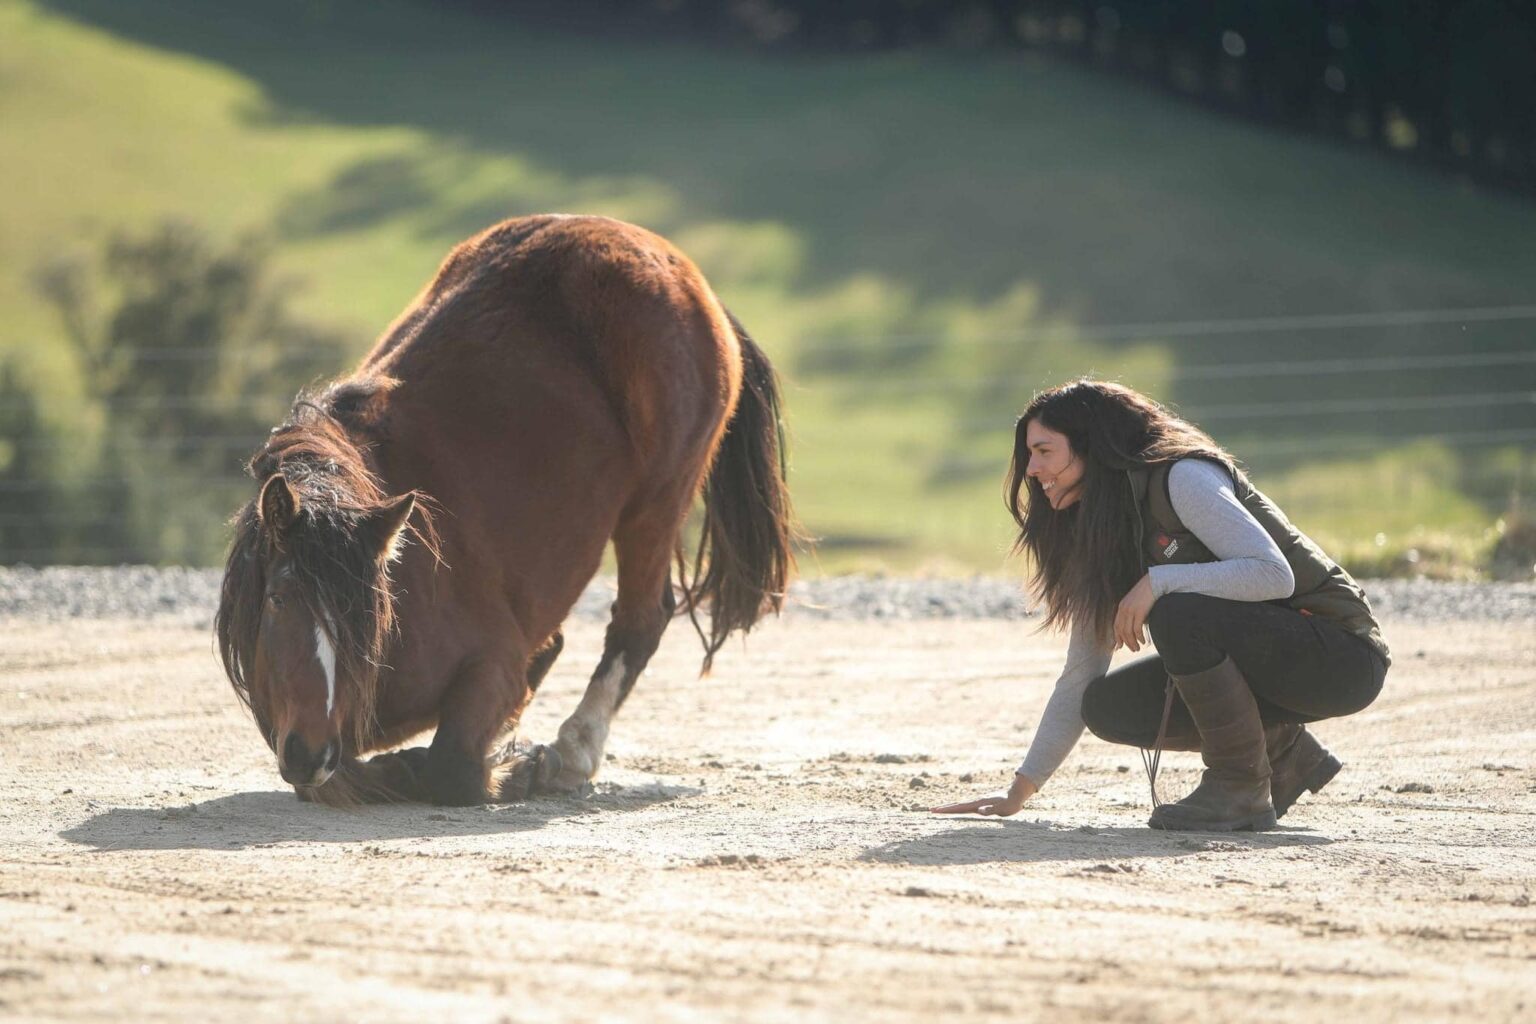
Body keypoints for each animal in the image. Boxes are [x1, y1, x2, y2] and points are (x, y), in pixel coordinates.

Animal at [215, 214, 796, 806]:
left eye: (364, 610)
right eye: (278, 599)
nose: (310, 754)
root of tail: (688, 278)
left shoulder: (493, 662)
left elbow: (450, 767)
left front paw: (513, 765)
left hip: (658, 501)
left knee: (640, 621)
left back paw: (570, 753)